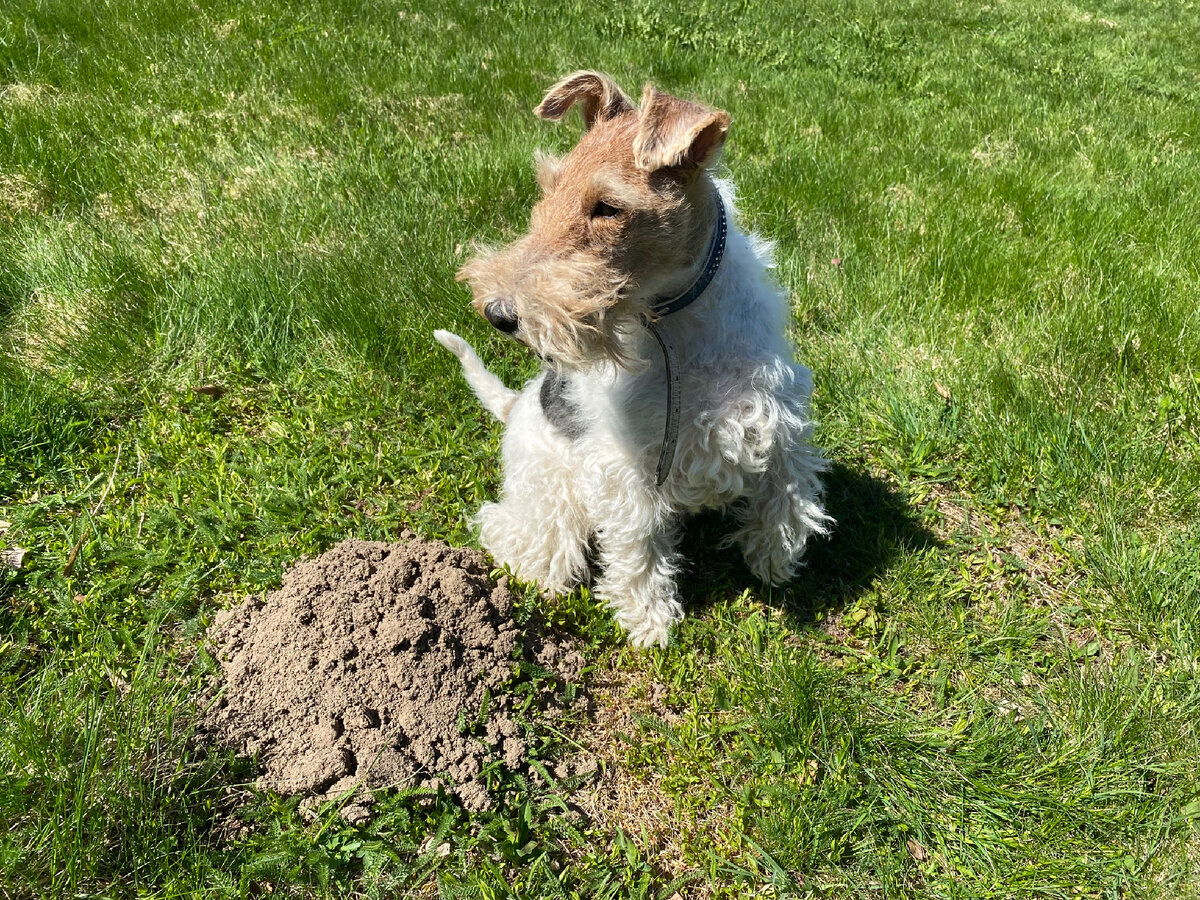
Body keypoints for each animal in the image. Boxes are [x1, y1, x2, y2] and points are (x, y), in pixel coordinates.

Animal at [434, 70, 835, 648]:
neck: (675, 326)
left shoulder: (775, 416)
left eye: (608, 206)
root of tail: (515, 407)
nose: (499, 313)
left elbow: (788, 491)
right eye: (548, 188)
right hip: (548, 496)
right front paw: (650, 623)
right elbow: (640, 543)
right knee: (511, 532)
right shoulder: (627, 467)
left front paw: (773, 558)